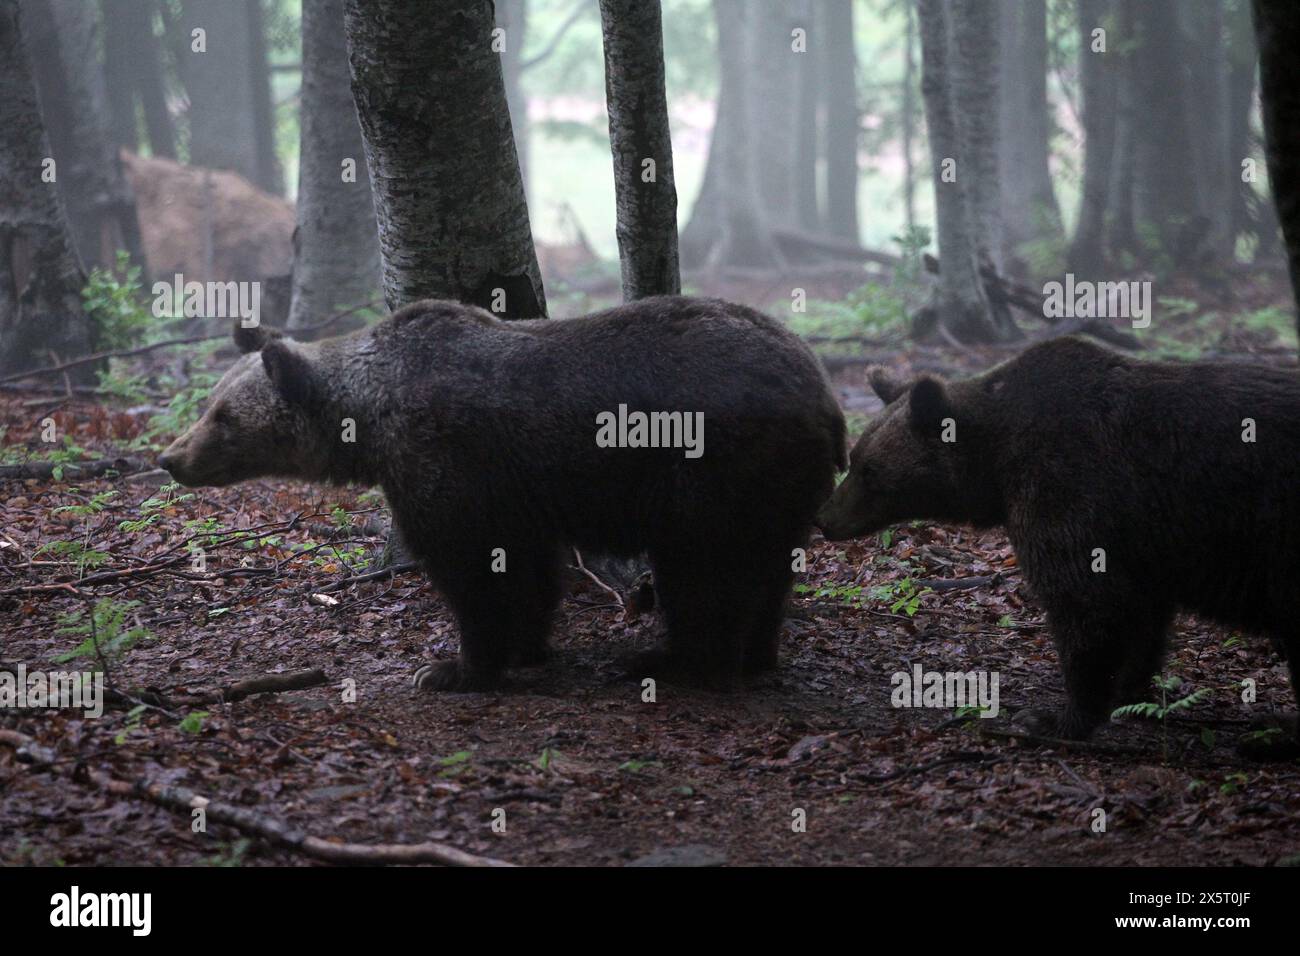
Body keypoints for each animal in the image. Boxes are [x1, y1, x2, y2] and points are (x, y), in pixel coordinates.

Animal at [160, 296, 846, 692]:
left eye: (222, 415)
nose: (170, 458)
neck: (369, 419)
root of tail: (824, 392)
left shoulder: (449, 465)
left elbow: (472, 573)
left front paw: (452, 667)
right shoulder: (516, 496)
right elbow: (529, 571)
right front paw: (528, 646)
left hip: (715, 469)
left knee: (705, 569)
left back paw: (675, 660)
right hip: (778, 487)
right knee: (770, 569)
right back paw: (755, 653)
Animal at [815, 335, 1300, 742]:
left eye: (868, 470)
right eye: (855, 458)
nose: (824, 518)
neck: (995, 462)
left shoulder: (1069, 488)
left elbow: (1085, 604)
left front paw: (1056, 716)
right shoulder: (1140, 545)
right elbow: (1143, 619)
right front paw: (1130, 694)